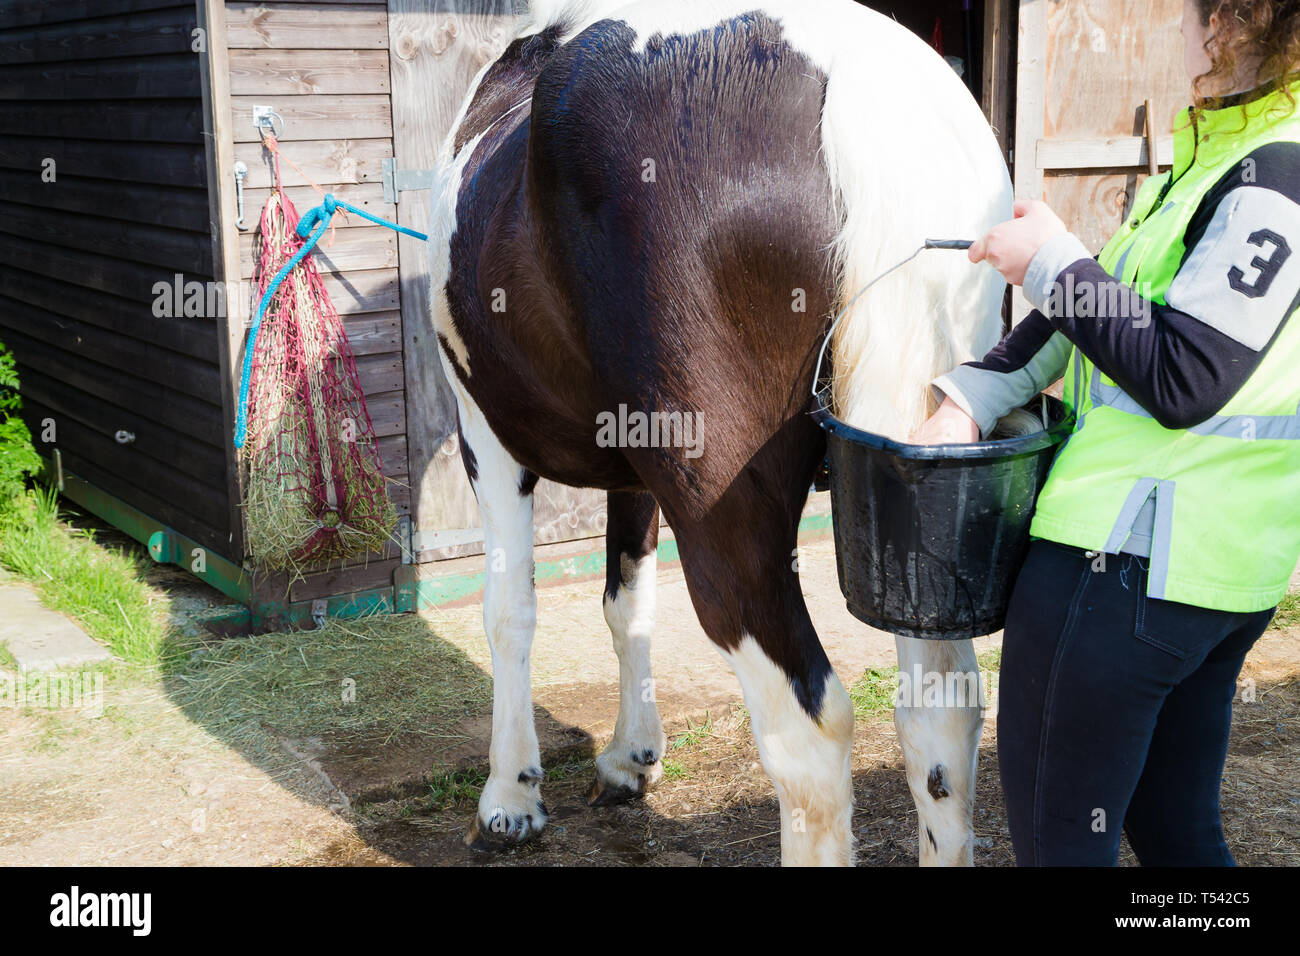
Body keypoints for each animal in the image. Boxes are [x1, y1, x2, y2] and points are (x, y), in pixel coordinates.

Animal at [426, 0, 1011, 865]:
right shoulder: (632, 473)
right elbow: (626, 601)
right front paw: (631, 757)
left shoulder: (487, 436)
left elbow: (509, 613)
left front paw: (509, 798)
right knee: (943, 710)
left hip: (723, 513)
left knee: (809, 734)